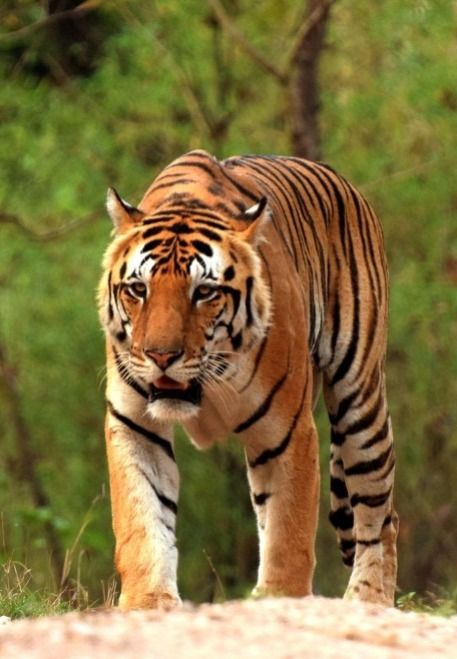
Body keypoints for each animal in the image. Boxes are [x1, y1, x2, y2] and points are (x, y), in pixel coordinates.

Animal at [98, 149, 398, 611]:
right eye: (138, 289)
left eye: (204, 292)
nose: (161, 356)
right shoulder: (135, 424)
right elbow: (142, 518)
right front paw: (147, 601)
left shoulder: (288, 431)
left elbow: (289, 529)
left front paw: (280, 598)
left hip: (359, 401)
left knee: (378, 512)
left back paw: (368, 599)